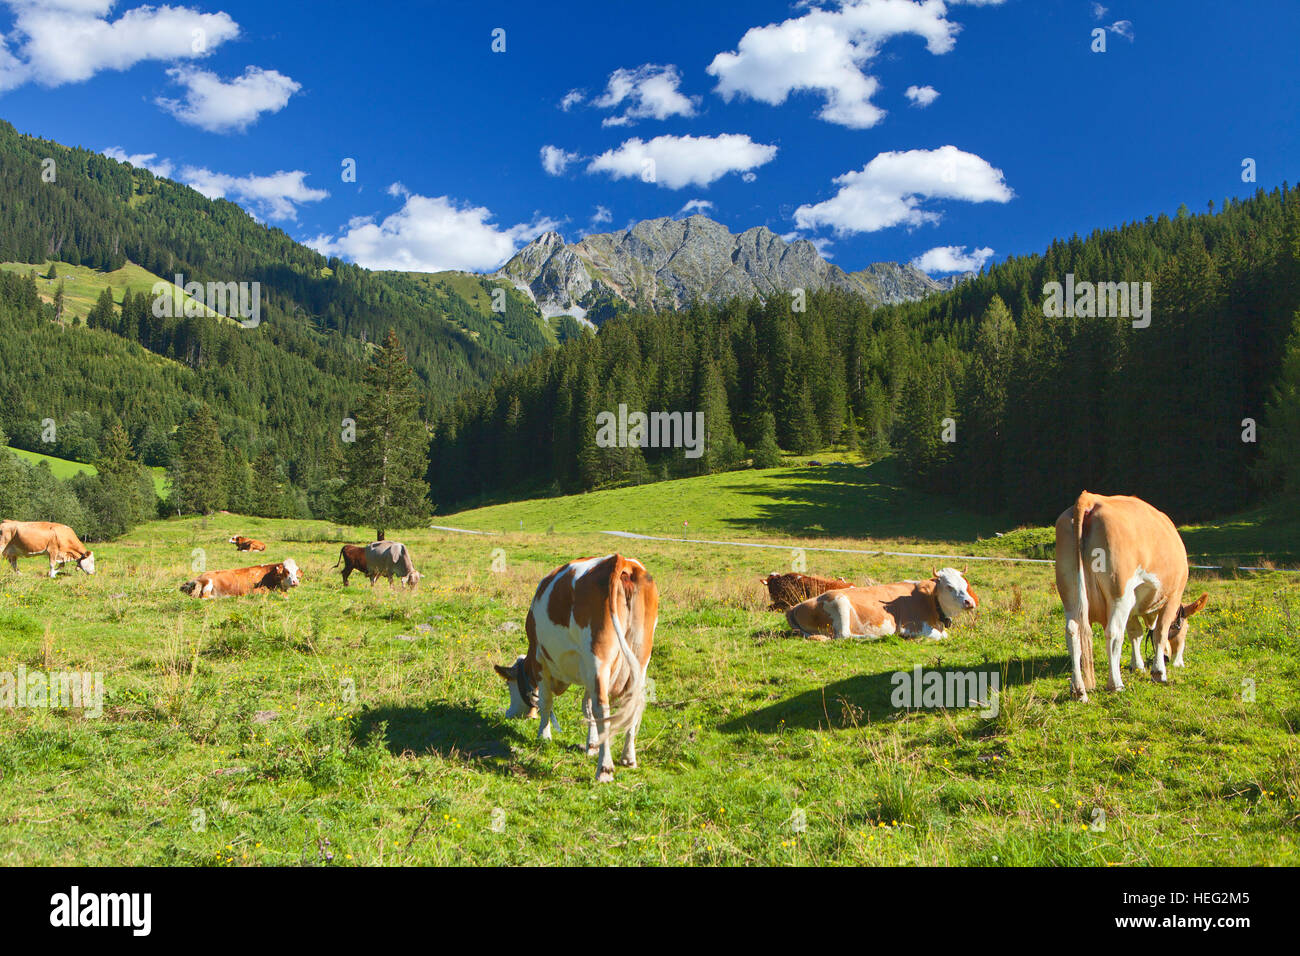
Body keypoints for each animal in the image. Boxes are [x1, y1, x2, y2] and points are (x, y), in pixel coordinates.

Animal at [494, 554, 658, 783]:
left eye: (509, 686)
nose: (508, 713)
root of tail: (620, 561)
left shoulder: (541, 662)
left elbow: (547, 702)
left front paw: (544, 735)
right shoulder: (587, 670)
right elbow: (586, 706)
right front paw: (592, 744)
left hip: (599, 657)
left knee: (603, 709)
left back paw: (604, 769)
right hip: (640, 658)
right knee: (633, 705)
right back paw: (628, 757)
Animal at [786, 568, 978, 641]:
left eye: (964, 584)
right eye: (949, 586)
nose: (969, 602)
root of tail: (795, 607)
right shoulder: (913, 626)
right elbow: (942, 636)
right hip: (839, 603)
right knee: (844, 635)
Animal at [1055, 491, 1209, 701]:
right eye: (1184, 629)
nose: (1176, 662)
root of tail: (1089, 498)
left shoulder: (1133, 604)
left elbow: (1136, 633)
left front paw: (1137, 666)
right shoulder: (1172, 596)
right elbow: (1160, 632)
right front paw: (1159, 672)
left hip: (1070, 593)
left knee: (1073, 631)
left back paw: (1078, 690)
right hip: (1119, 593)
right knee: (1113, 633)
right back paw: (1116, 684)